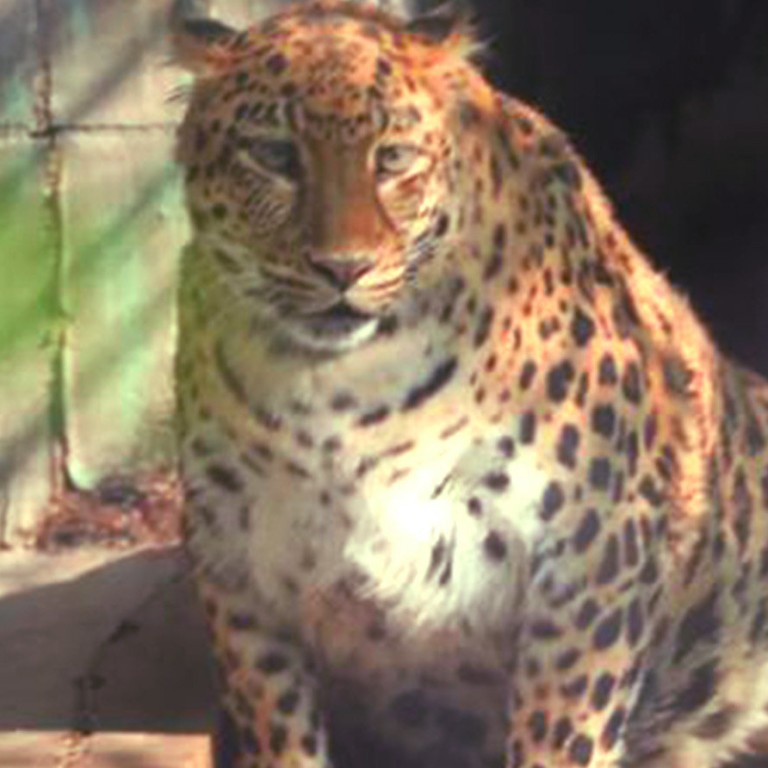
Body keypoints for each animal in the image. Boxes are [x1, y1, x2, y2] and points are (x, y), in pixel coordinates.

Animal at [170, 2, 768, 767]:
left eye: (392, 159)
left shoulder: (593, 556)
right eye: (274, 156)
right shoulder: (236, 565)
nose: (343, 268)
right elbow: (280, 730)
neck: (338, 396)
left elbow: (558, 738)